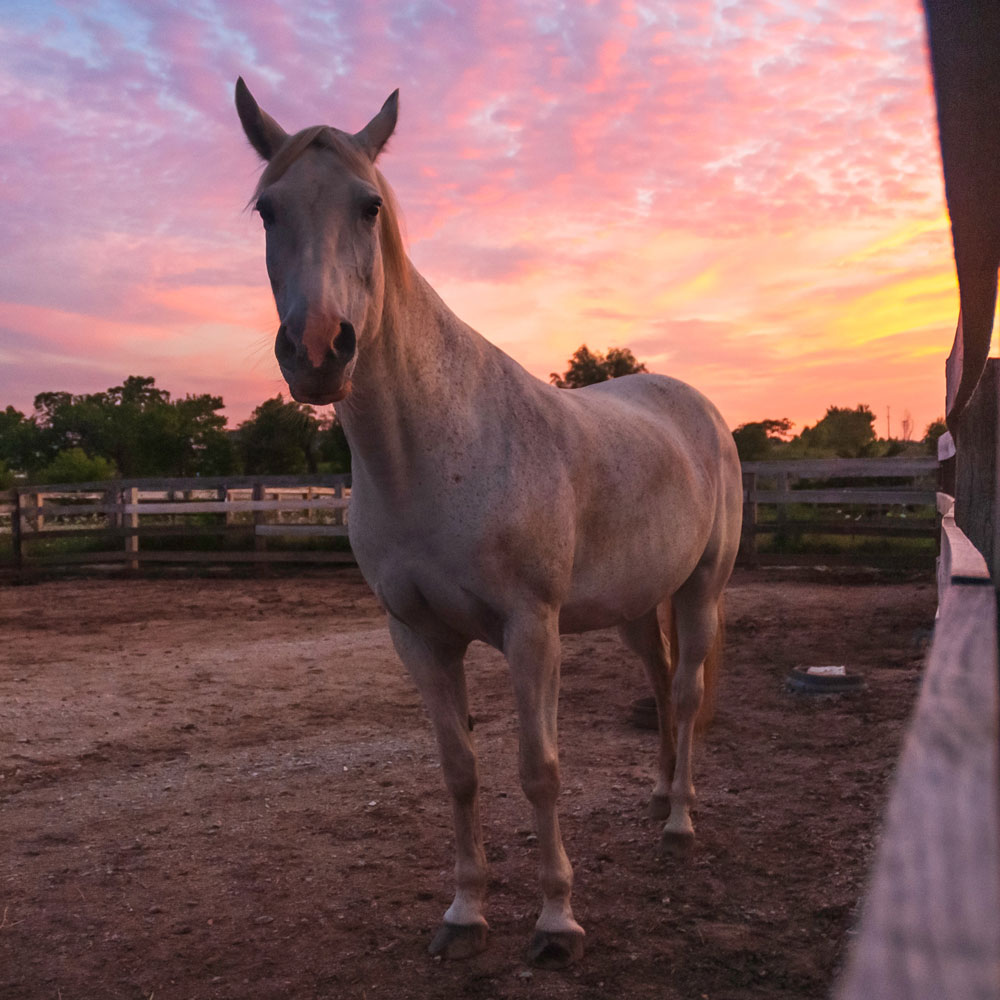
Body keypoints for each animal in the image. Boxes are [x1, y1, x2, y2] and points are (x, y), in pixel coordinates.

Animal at [234, 78, 743, 969]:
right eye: (268, 210)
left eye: (369, 205)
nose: (319, 349)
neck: (435, 450)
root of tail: (699, 408)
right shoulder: (419, 635)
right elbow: (459, 769)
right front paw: (466, 913)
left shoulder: (529, 629)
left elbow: (538, 768)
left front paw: (557, 922)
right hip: (636, 604)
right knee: (657, 680)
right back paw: (655, 795)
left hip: (701, 591)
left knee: (683, 694)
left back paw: (679, 821)